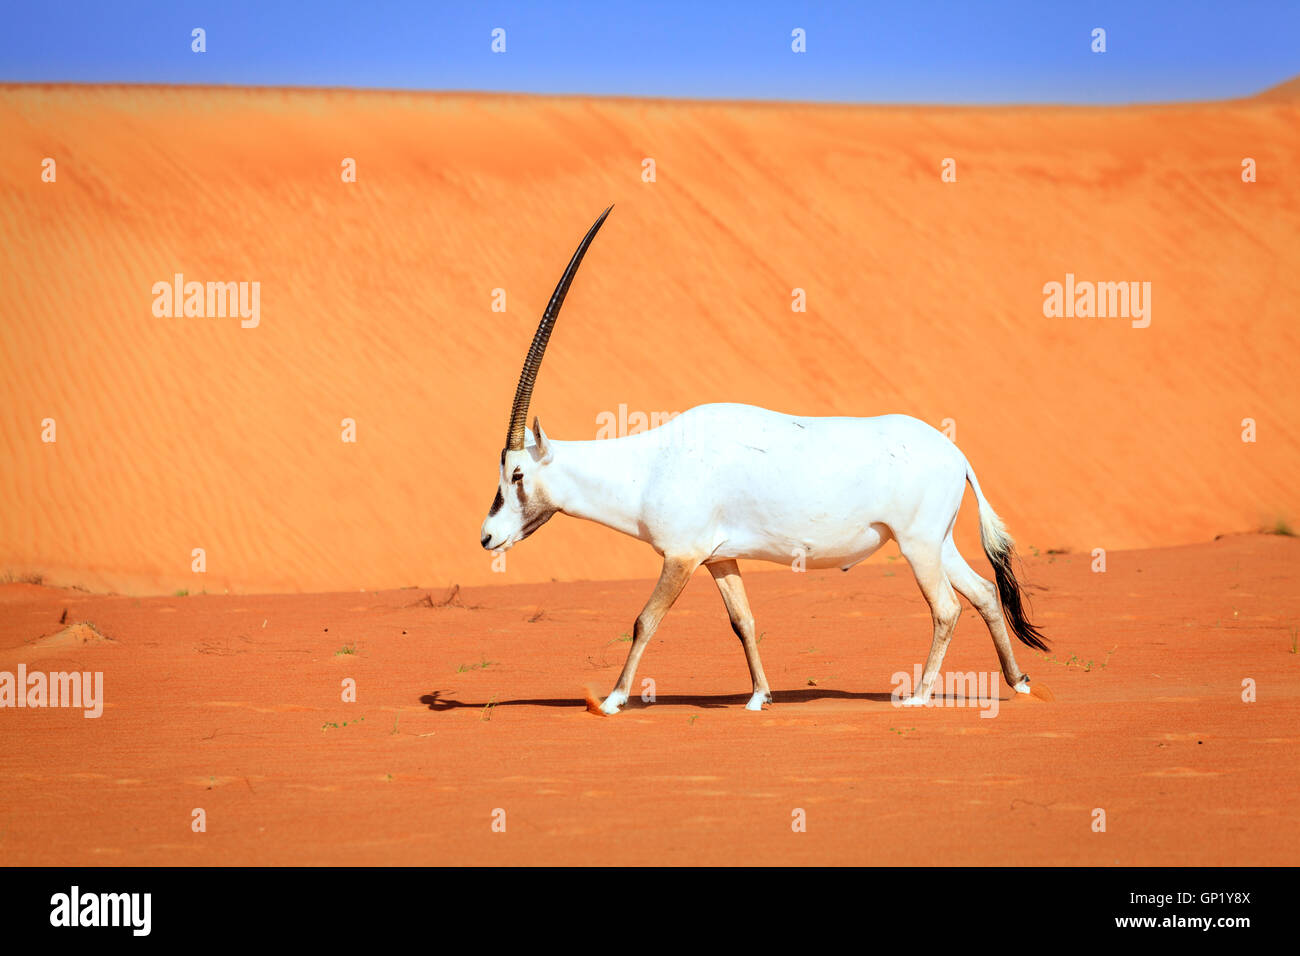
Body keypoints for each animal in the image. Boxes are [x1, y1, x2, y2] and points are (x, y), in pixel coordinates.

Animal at [480, 207, 1047, 715]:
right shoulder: (718, 558)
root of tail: (957, 455)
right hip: (937, 542)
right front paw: (759, 697)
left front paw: (614, 699)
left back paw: (922, 695)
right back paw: (1018, 682)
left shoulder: (680, 557)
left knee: (947, 607)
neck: (648, 466)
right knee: (984, 594)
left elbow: (645, 620)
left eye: (517, 473)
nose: (487, 537)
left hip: (918, 546)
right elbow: (743, 622)